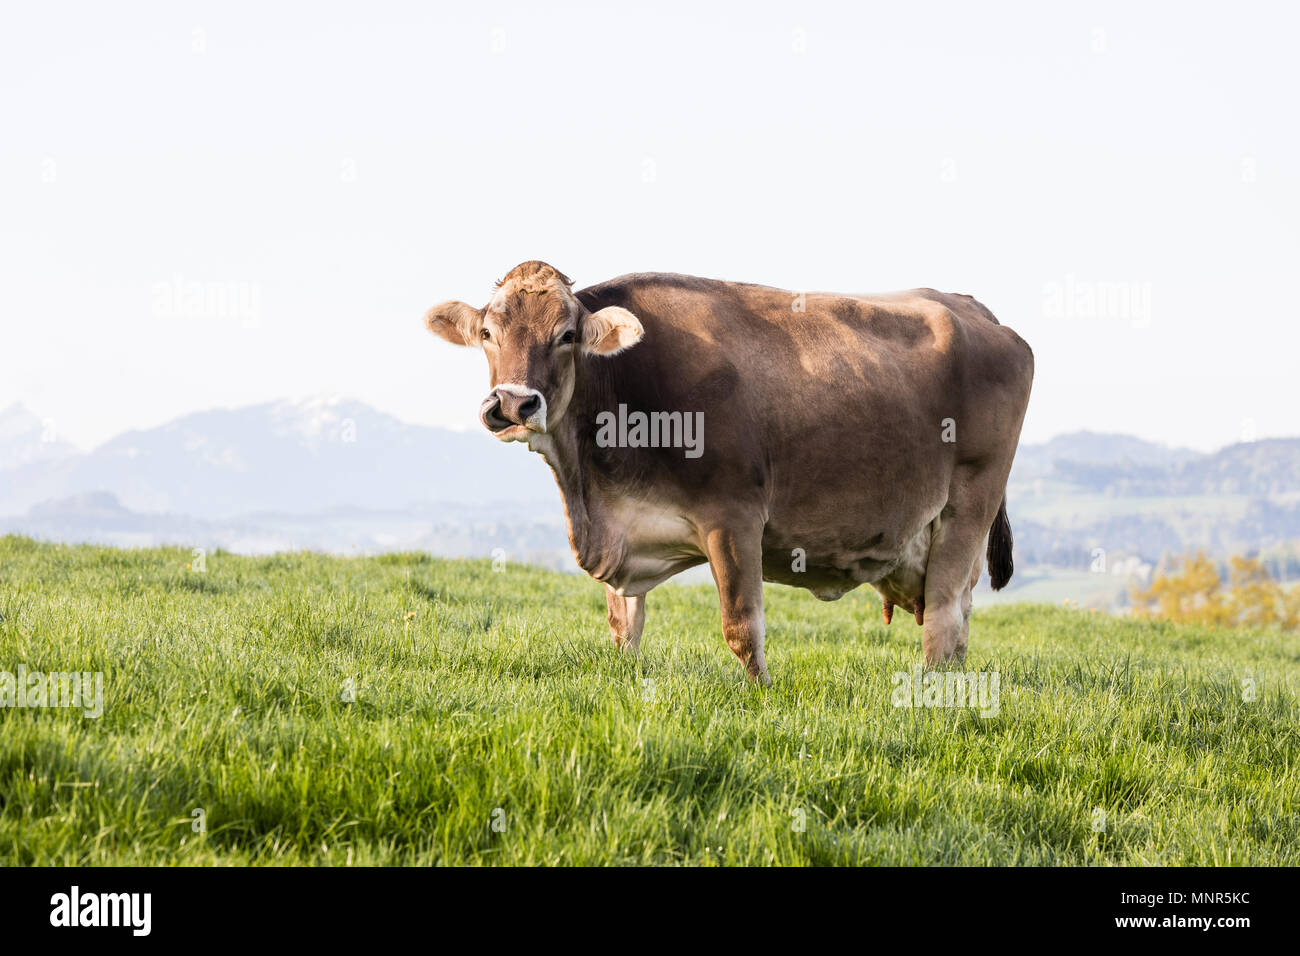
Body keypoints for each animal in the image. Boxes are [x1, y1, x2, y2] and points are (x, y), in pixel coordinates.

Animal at [425, 261, 1033, 684]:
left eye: (566, 335)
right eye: (487, 333)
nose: (512, 403)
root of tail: (968, 306)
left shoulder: (733, 514)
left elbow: (742, 626)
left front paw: (762, 694)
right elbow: (625, 627)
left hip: (968, 507)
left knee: (943, 623)